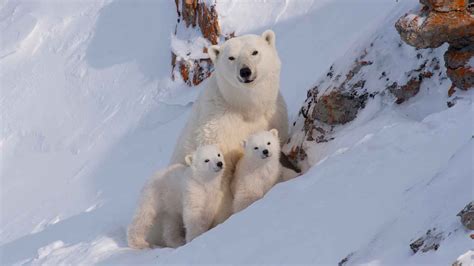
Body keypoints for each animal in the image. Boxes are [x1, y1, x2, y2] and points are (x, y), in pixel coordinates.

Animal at [170, 29, 288, 224]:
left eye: (254, 52)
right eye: (231, 57)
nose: (245, 71)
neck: (244, 108)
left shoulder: (274, 114)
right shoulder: (220, 129)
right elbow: (222, 175)